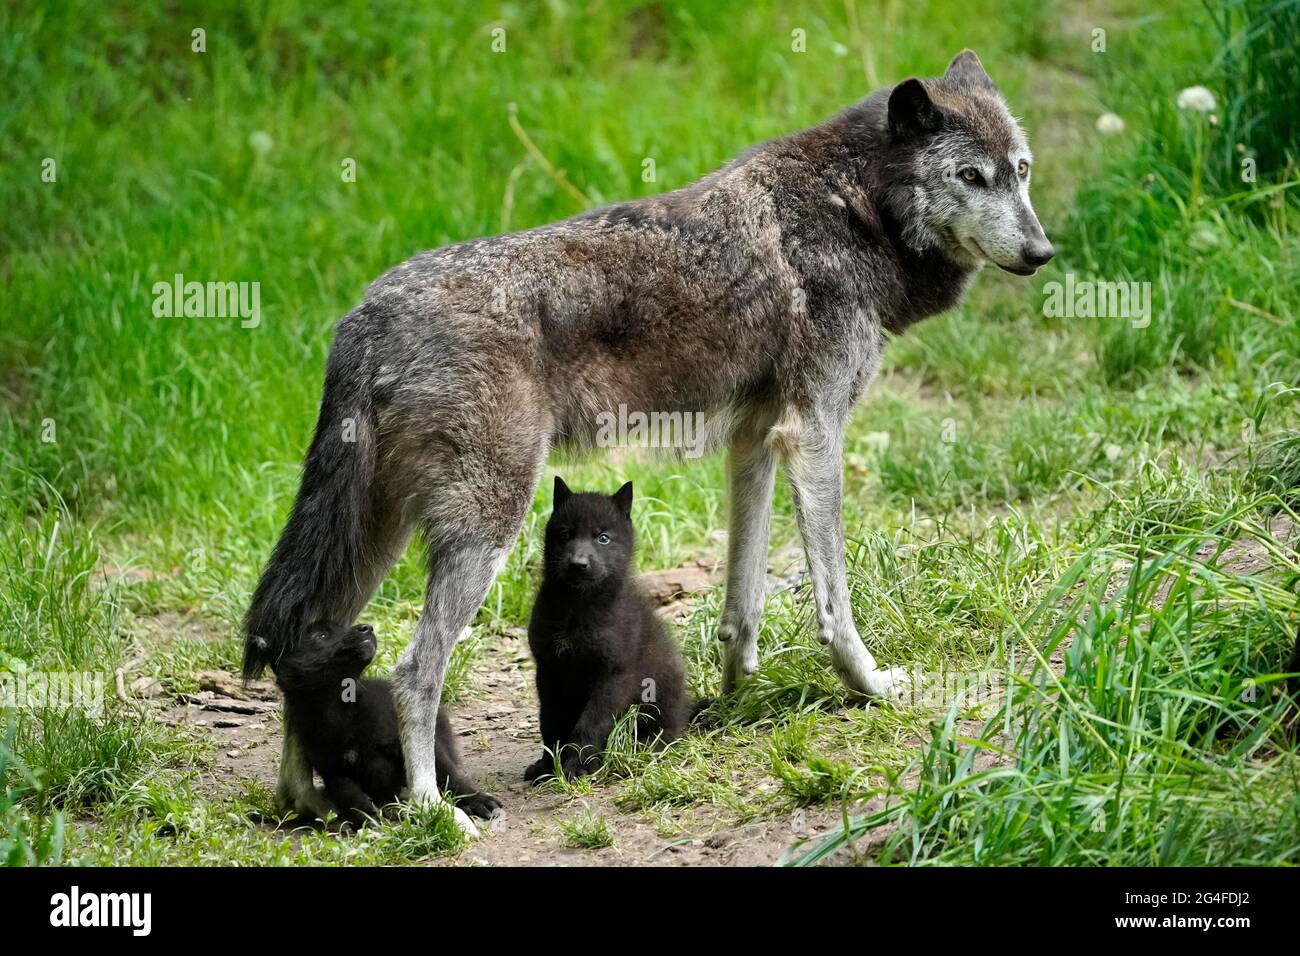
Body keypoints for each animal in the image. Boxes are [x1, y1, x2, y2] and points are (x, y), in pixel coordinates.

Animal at [243, 49, 1053, 825]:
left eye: (1020, 171)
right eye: (970, 176)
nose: (1042, 252)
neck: (851, 207)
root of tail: (365, 315)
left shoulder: (756, 441)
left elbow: (741, 607)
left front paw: (730, 704)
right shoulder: (815, 432)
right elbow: (835, 604)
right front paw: (873, 686)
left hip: (370, 546)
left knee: (301, 658)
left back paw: (308, 805)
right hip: (481, 530)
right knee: (415, 672)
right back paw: (434, 813)